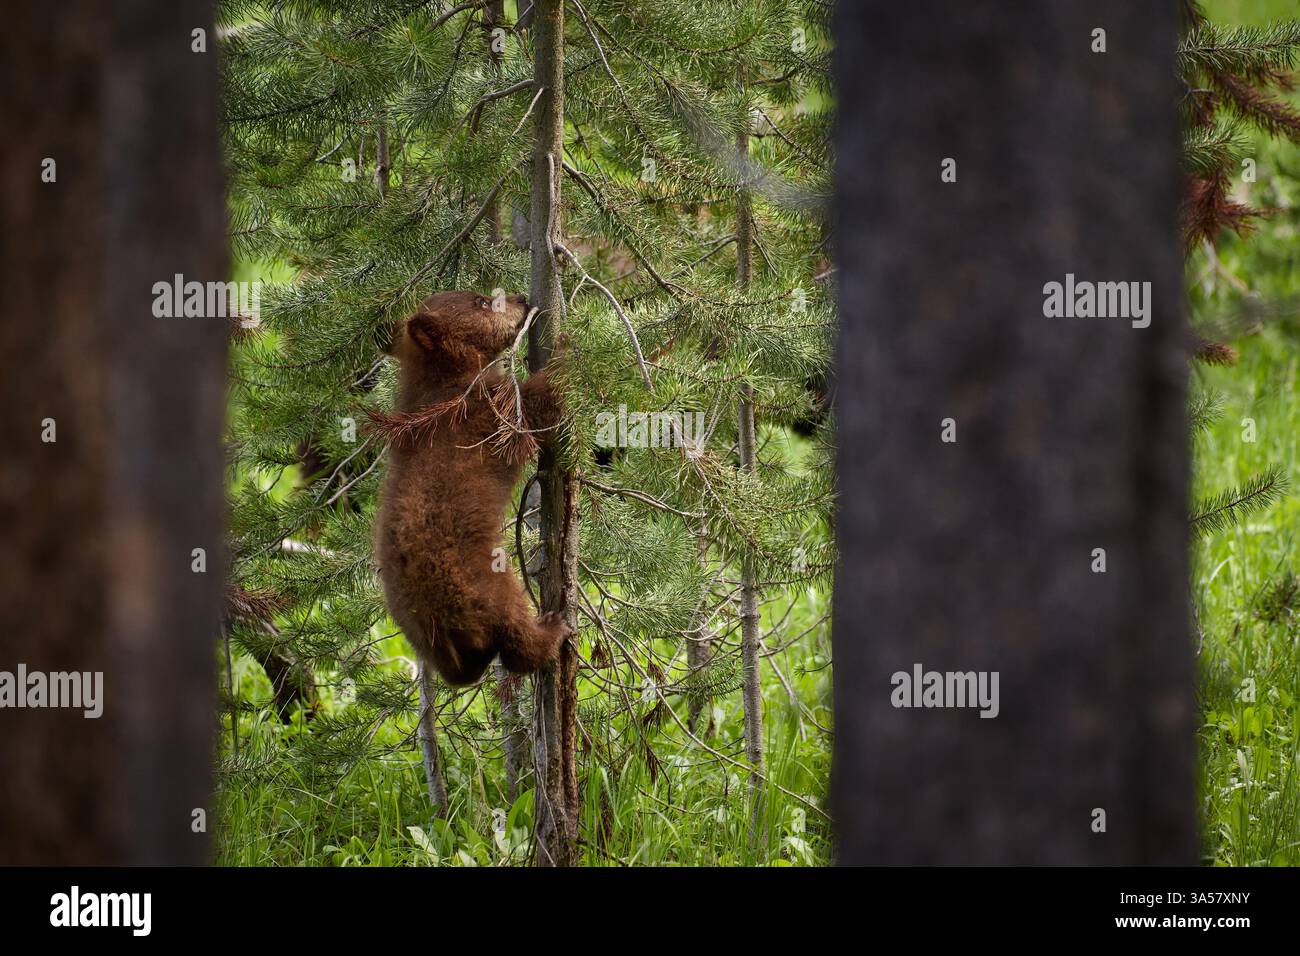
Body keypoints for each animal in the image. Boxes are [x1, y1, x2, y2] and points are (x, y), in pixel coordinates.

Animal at [374, 290, 569, 687]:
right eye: (481, 302)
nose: (521, 297)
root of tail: (440, 630)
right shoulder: (483, 410)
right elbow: (534, 405)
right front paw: (567, 345)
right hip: (485, 583)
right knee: (514, 630)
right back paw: (551, 629)